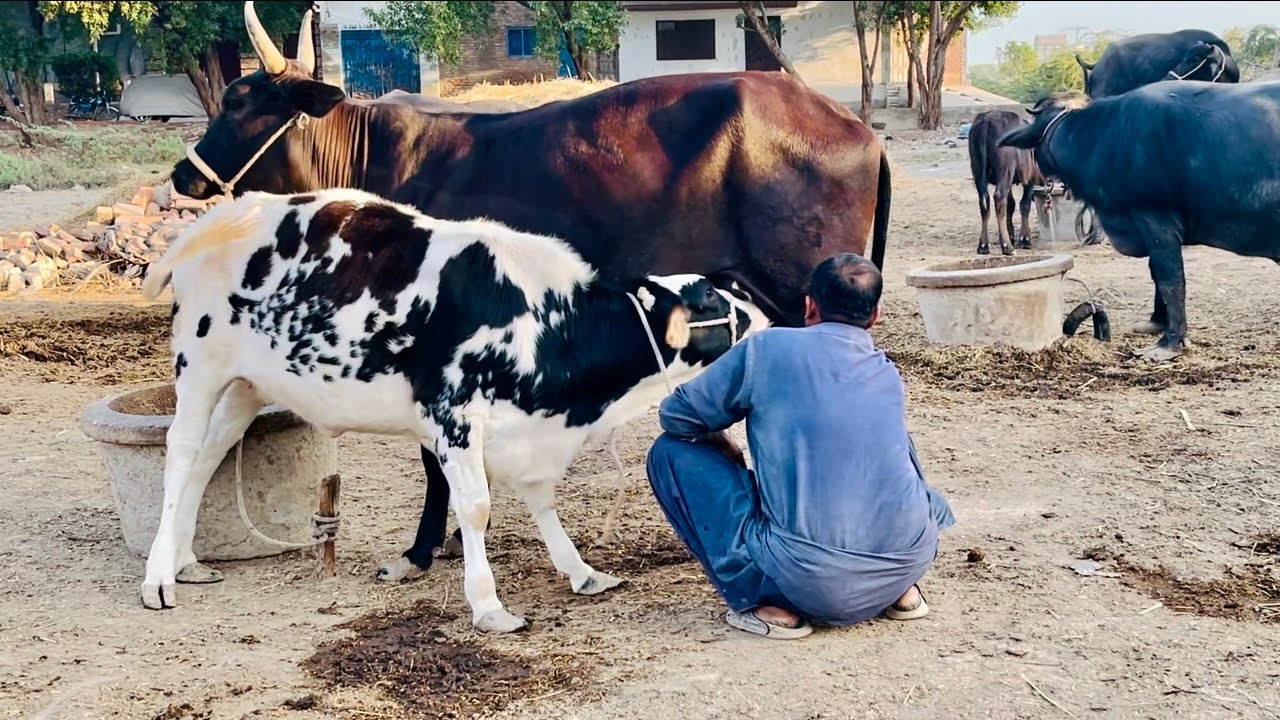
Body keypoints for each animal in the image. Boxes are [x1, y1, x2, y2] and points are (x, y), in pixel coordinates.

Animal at [136, 186, 771, 633]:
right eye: (708, 297)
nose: (766, 318)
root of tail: (225, 215)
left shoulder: (528, 433)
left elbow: (541, 500)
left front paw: (581, 571)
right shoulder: (454, 414)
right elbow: (477, 508)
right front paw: (488, 605)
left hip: (245, 384)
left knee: (209, 457)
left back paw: (186, 560)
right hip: (199, 365)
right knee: (180, 453)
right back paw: (158, 578)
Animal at [169, 1, 891, 574]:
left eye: (238, 101)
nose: (183, 174)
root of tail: (855, 125)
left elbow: (434, 456)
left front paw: (421, 549)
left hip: (802, 295)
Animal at [967, 109, 1047, 255]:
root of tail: (988, 119)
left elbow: (1010, 205)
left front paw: (1009, 235)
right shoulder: (1029, 180)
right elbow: (1024, 205)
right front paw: (1024, 239)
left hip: (978, 172)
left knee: (985, 202)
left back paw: (984, 245)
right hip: (1005, 170)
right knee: (999, 197)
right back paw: (1007, 246)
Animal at [996, 83, 1280, 363]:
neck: (1102, 136)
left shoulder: (1154, 217)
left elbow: (1170, 280)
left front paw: (1169, 342)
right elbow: (1155, 272)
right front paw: (1156, 322)